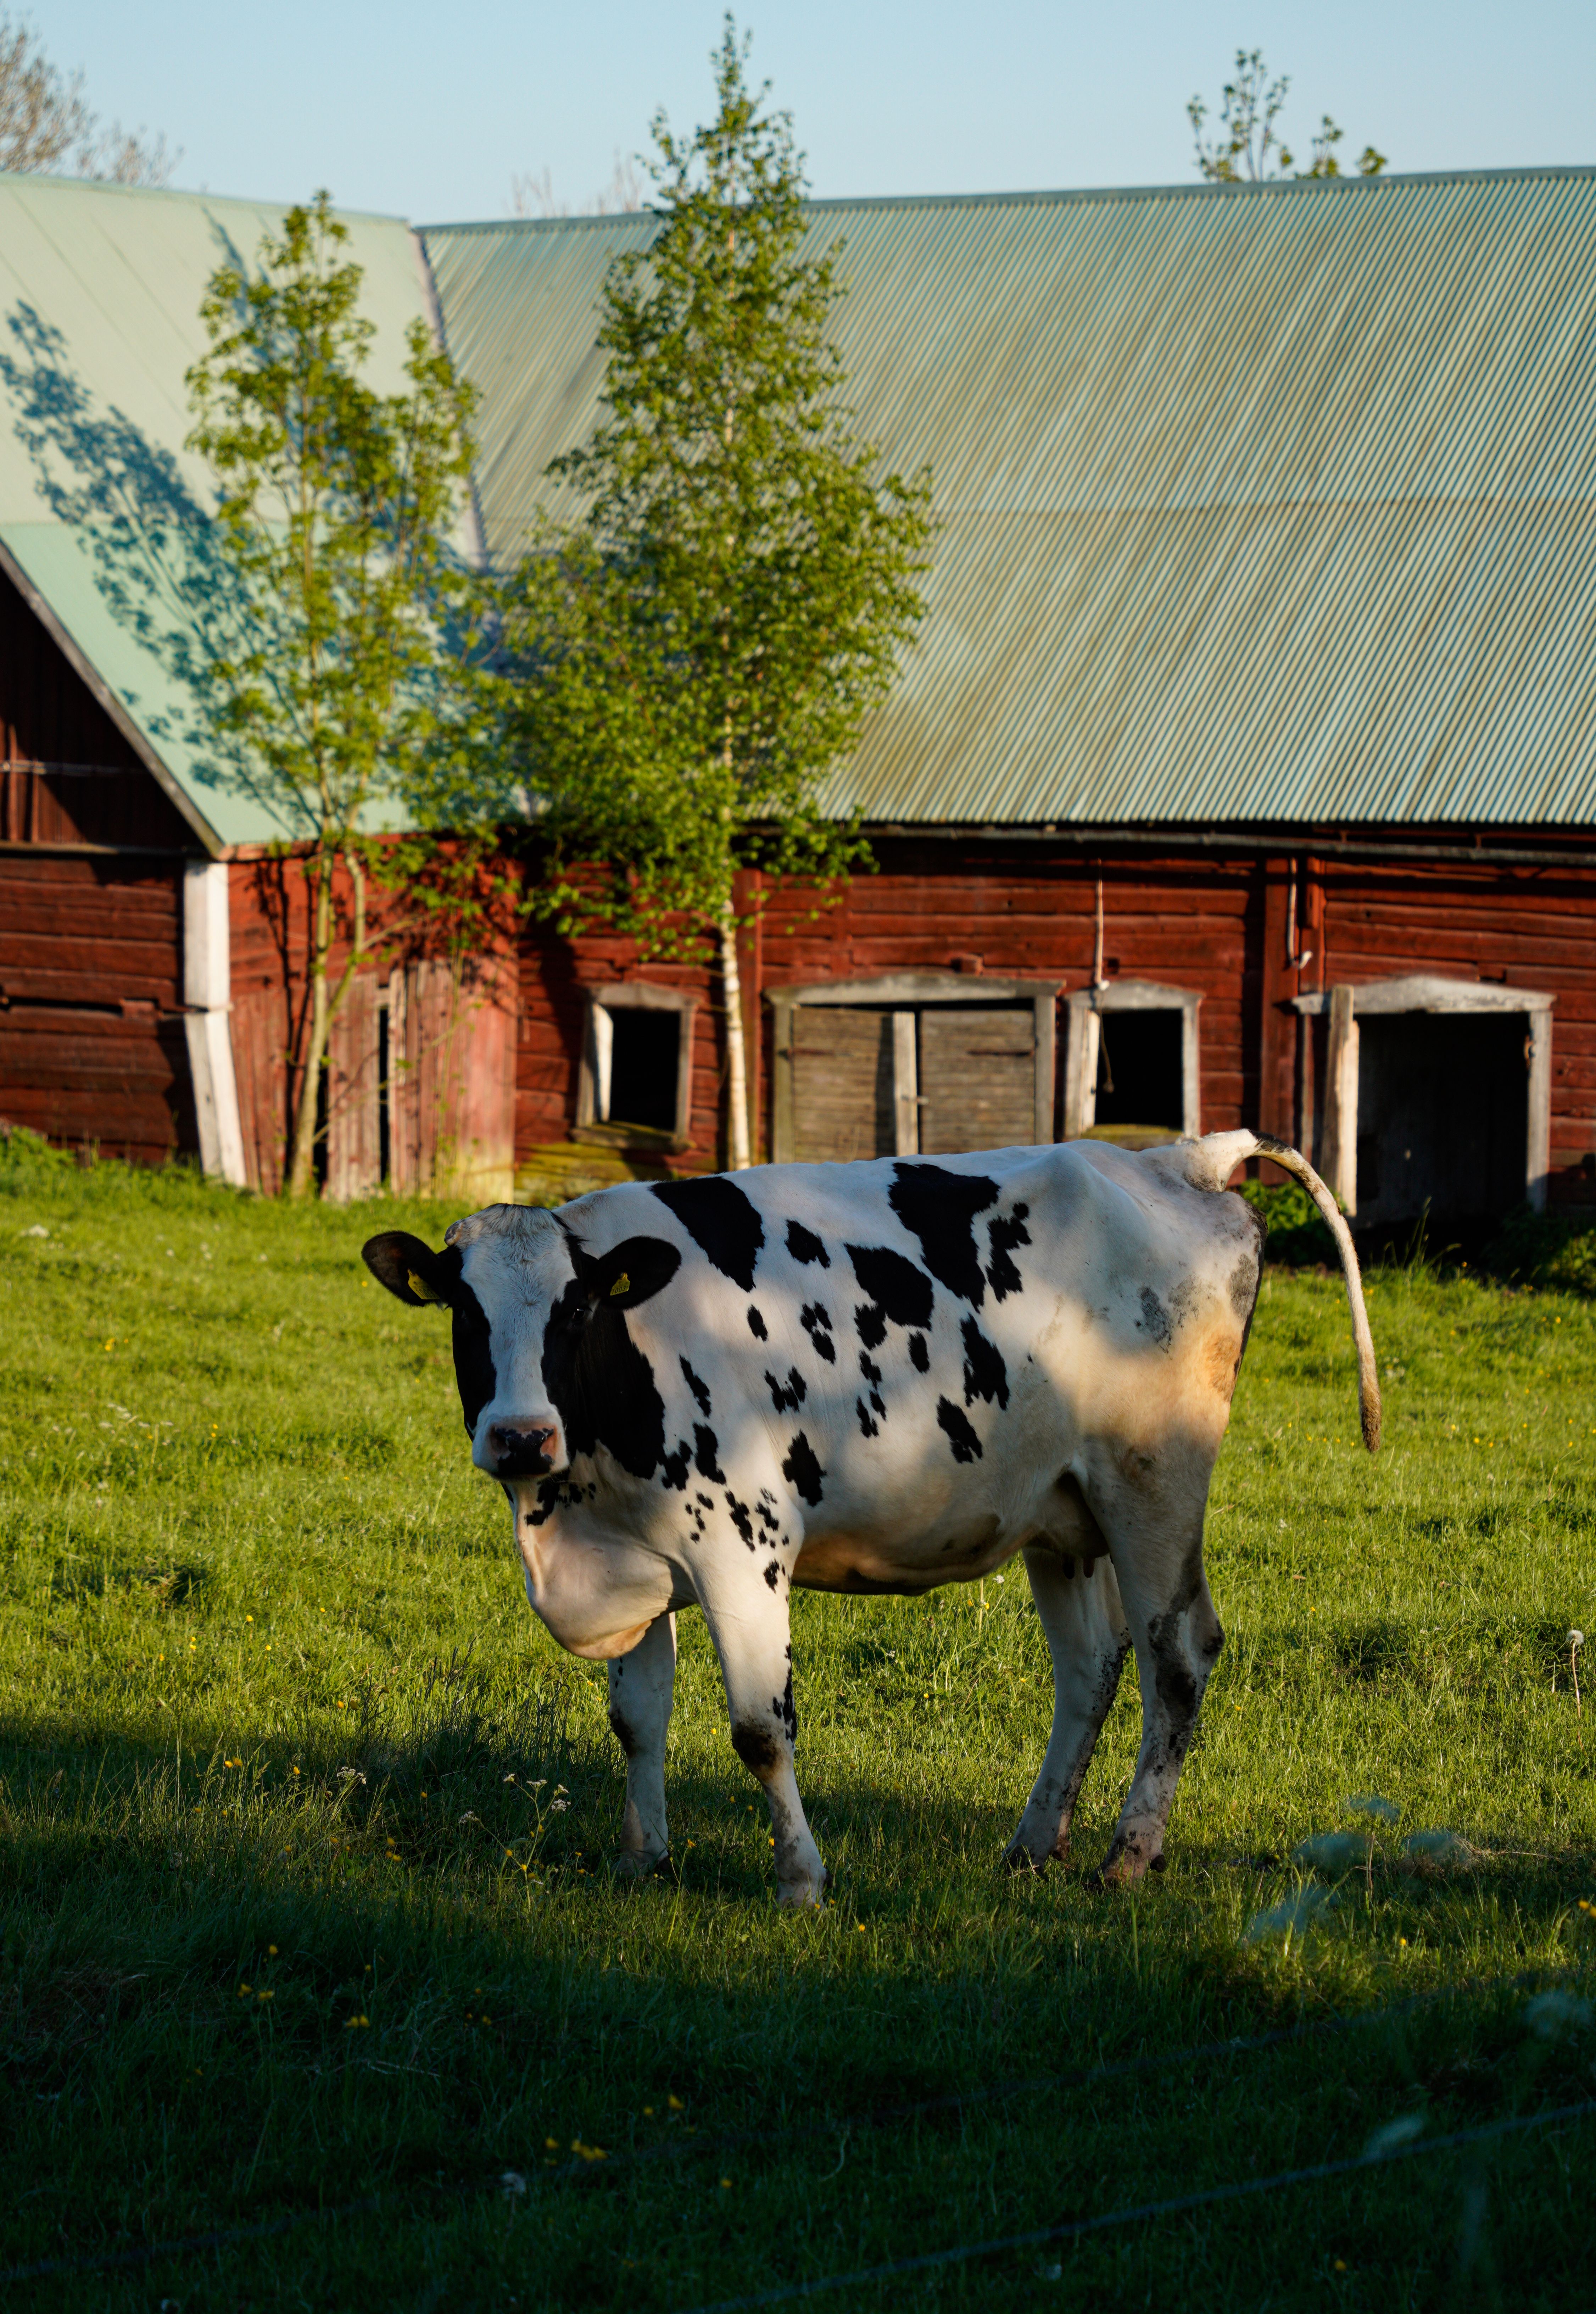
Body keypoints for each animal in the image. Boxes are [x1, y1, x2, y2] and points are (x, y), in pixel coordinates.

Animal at [362, 1127, 1378, 1905]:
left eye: (574, 1308)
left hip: (1152, 1480)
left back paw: (1127, 1857)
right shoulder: (636, 1555)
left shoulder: (743, 1545)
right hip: (1062, 1507)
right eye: (462, 1308)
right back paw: (1030, 1845)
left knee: (1178, 1652)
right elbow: (637, 1720)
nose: (521, 1437)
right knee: (1090, 1667)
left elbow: (759, 1729)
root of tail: (1176, 1157)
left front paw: (801, 1881)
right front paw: (641, 1860)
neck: (572, 1514)